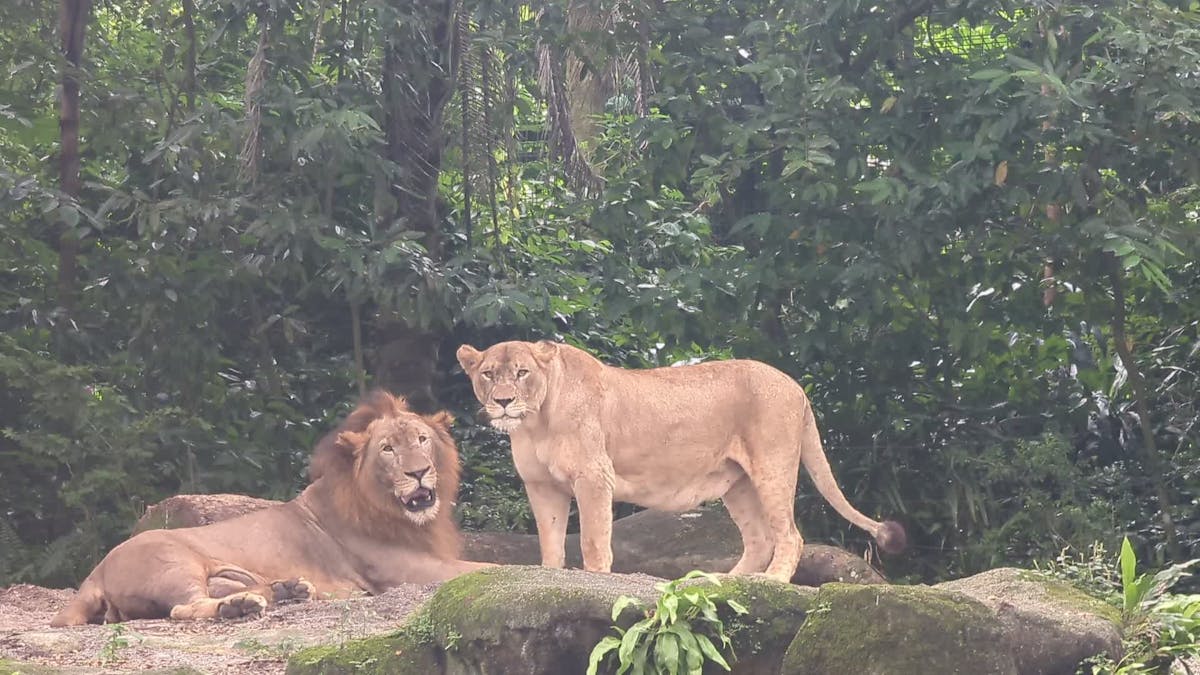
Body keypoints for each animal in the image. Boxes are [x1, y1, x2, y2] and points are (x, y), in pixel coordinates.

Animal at [51, 390, 491, 626]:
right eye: (388, 449)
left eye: (421, 439)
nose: (419, 473)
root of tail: (96, 571)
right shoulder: (404, 569)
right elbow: (488, 568)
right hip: (171, 561)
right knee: (182, 607)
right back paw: (241, 606)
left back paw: (287, 590)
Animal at [456, 340, 905, 583]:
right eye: (488, 374)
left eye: (522, 372)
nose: (503, 402)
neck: (536, 423)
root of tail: (796, 386)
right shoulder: (541, 486)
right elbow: (550, 541)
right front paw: (548, 576)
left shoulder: (594, 476)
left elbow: (593, 538)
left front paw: (596, 578)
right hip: (739, 483)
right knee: (759, 539)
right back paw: (723, 581)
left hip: (772, 467)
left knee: (790, 536)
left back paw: (772, 580)